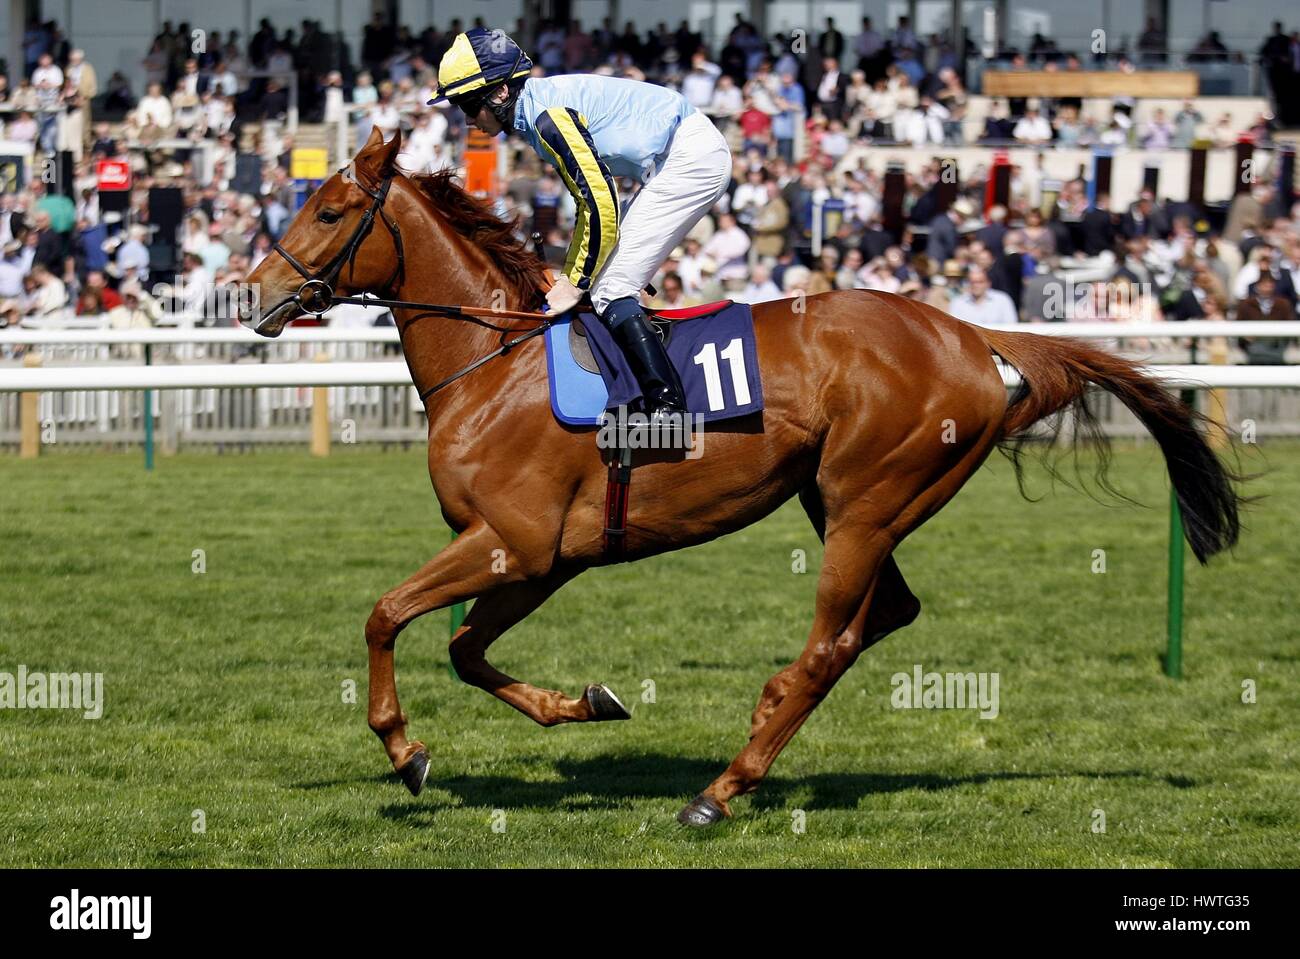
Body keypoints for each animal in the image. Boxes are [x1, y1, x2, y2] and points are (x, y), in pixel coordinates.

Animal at [242, 128, 1241, 826]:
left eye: (327, 213)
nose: (253, 294)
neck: (495, 361)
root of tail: (972, 335)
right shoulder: (543, 559)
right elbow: (463, 649)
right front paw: (586, 702)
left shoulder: (515, 543)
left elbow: (385, 616)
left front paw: (404, 750)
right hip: (841, 500)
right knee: (884, 615)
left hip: (867, 504)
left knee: (831, 644)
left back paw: (722, 787)